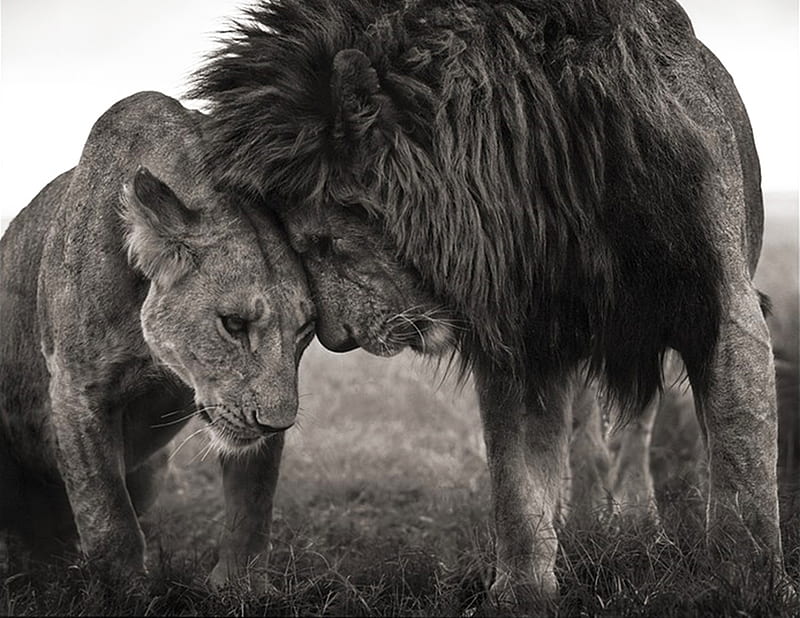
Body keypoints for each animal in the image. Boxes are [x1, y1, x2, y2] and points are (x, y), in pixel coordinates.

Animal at [0, 90, 316, 584]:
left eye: (304, 330)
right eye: (233, 324)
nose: (277, 423)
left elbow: (253, 504)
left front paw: (239, 586)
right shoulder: (76, 389)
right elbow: (108, 517)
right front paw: (124, 589)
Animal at [192, 0, 780, 608]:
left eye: (321, 242)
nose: (335, 340)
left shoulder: (722, 307)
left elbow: (742, 469)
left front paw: (746, 586)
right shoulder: (519, 336)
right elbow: (516, 484)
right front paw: (522, 591)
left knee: (637, 430)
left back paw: (640, 524)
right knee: (585, 437)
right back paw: (588, 523)